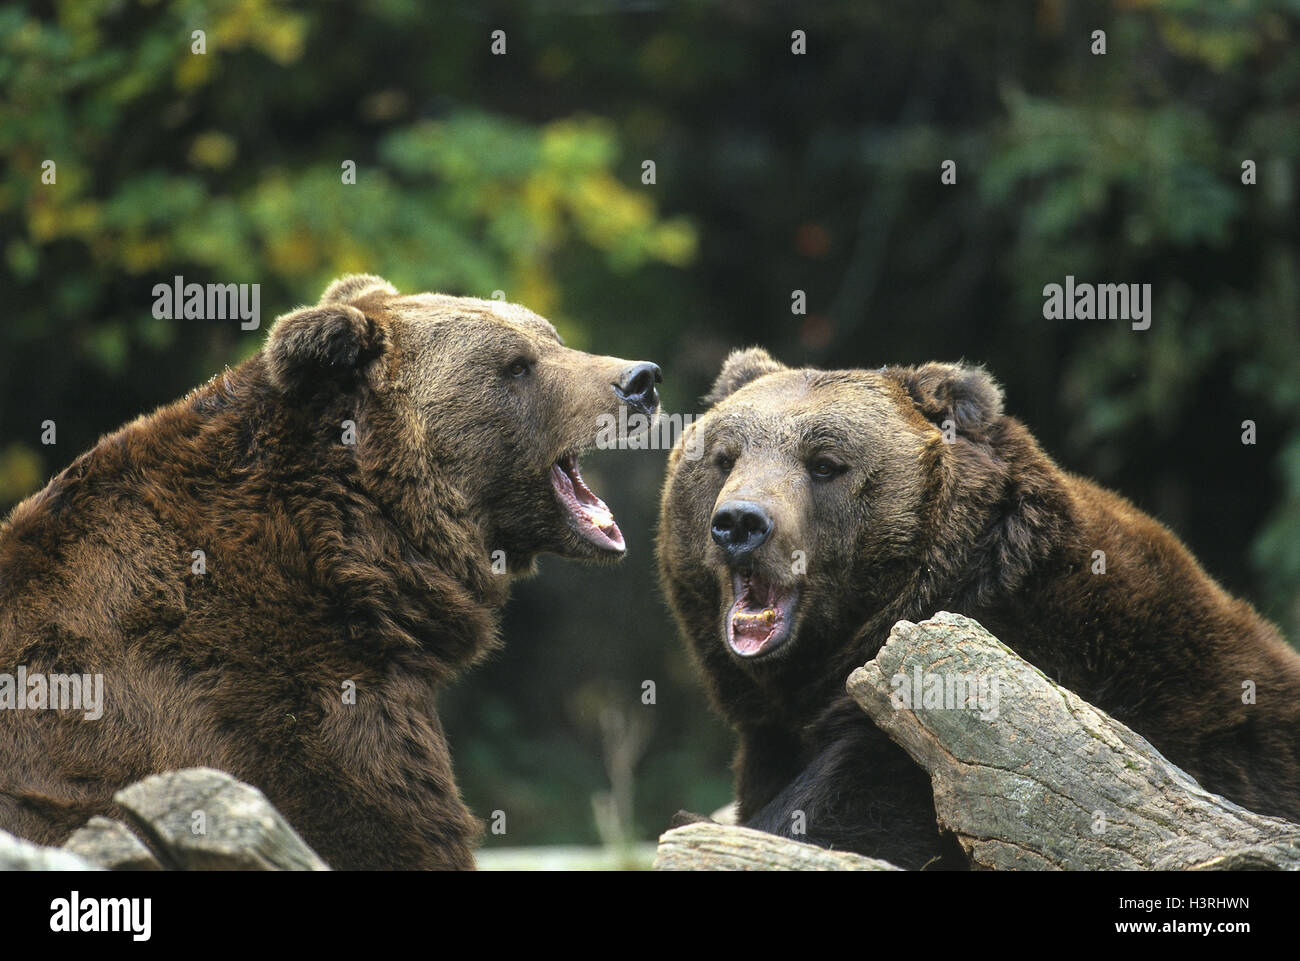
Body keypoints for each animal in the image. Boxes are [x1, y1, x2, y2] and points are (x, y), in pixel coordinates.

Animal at [657, 348, 1300, 869]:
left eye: (825, 463)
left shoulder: (969, 700)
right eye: (725, 456)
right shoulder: (774, 734)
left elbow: (855, 809)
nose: (740, 522)